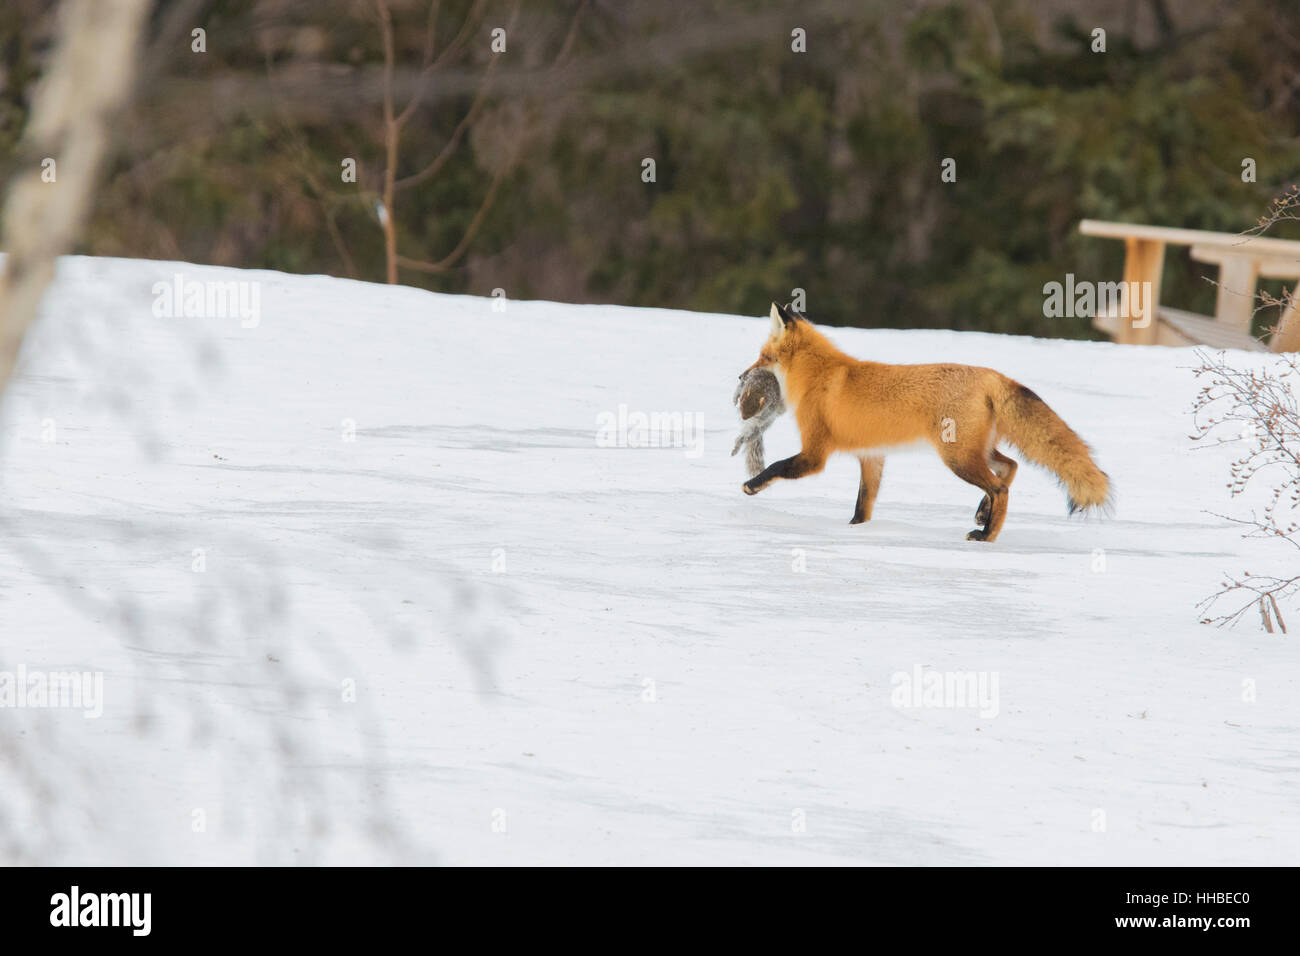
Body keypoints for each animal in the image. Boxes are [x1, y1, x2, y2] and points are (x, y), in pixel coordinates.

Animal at [742, 302, 1109, 542]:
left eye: (762, 357)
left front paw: (751, 485)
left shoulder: (815, 453)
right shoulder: (872, 457)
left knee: (1000, 486)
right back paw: (983, 514)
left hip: (956, 457)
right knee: (1010, 466)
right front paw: (857, 531)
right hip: (974, 451)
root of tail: (991, 374)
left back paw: (987, 534)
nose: (741, 376)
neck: (818, 374)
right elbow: (863, 505)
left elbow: (776, 466)